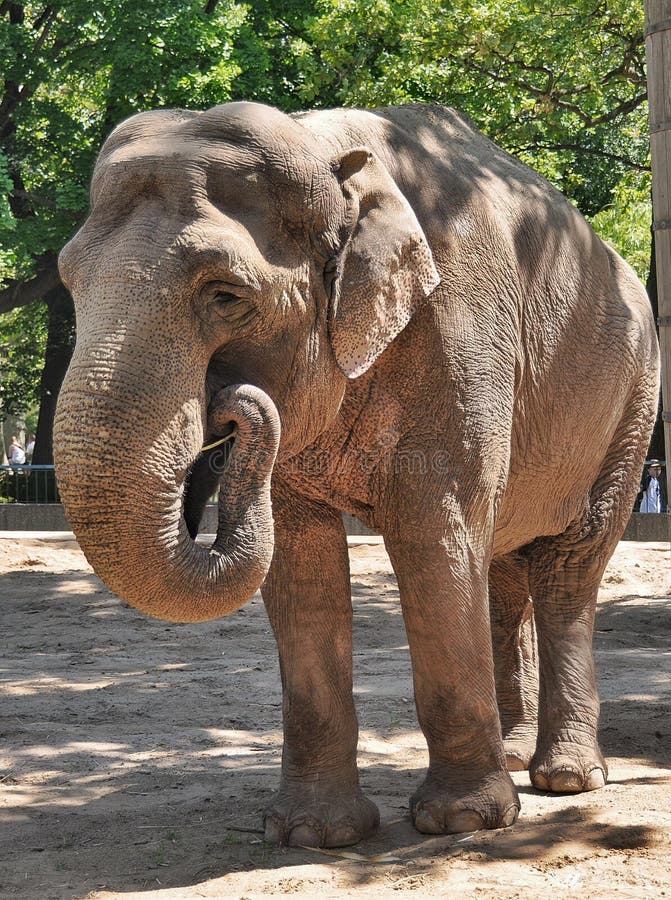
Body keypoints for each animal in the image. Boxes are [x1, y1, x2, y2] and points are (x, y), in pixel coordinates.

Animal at [54, 101, 659, 848]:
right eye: (69, 283)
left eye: (225, 295)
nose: (231, 406)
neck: (326, 150)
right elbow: (302, 563)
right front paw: (311, 833)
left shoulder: (461, 339)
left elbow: (435, 535)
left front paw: (460, 822)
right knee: (503, 568)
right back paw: (516, 754)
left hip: (632, 407)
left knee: (569, 568)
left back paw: (566, 778)